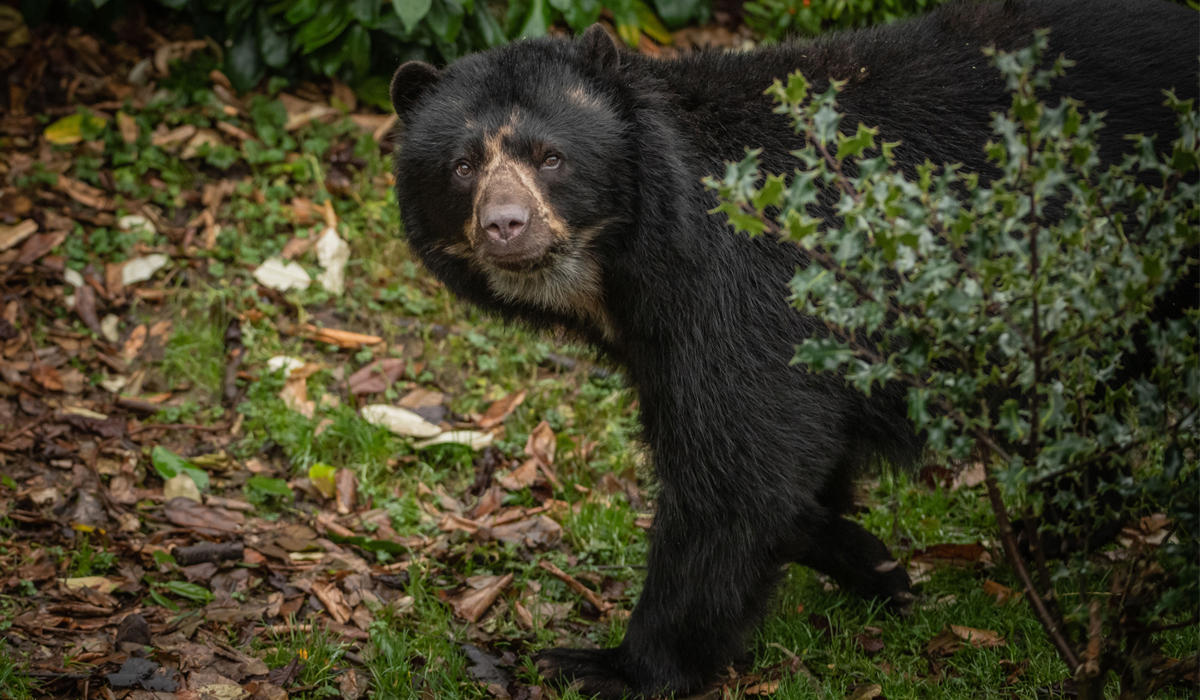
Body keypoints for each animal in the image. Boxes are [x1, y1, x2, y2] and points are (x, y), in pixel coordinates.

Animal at [388, 0, 1198, 697]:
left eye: (551, 157)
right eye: (462, 166)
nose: (506, 225)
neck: (624, 263)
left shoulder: (740, 285)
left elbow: (738, 472)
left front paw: (611, 666)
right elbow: (793, 461)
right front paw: (876, 564)